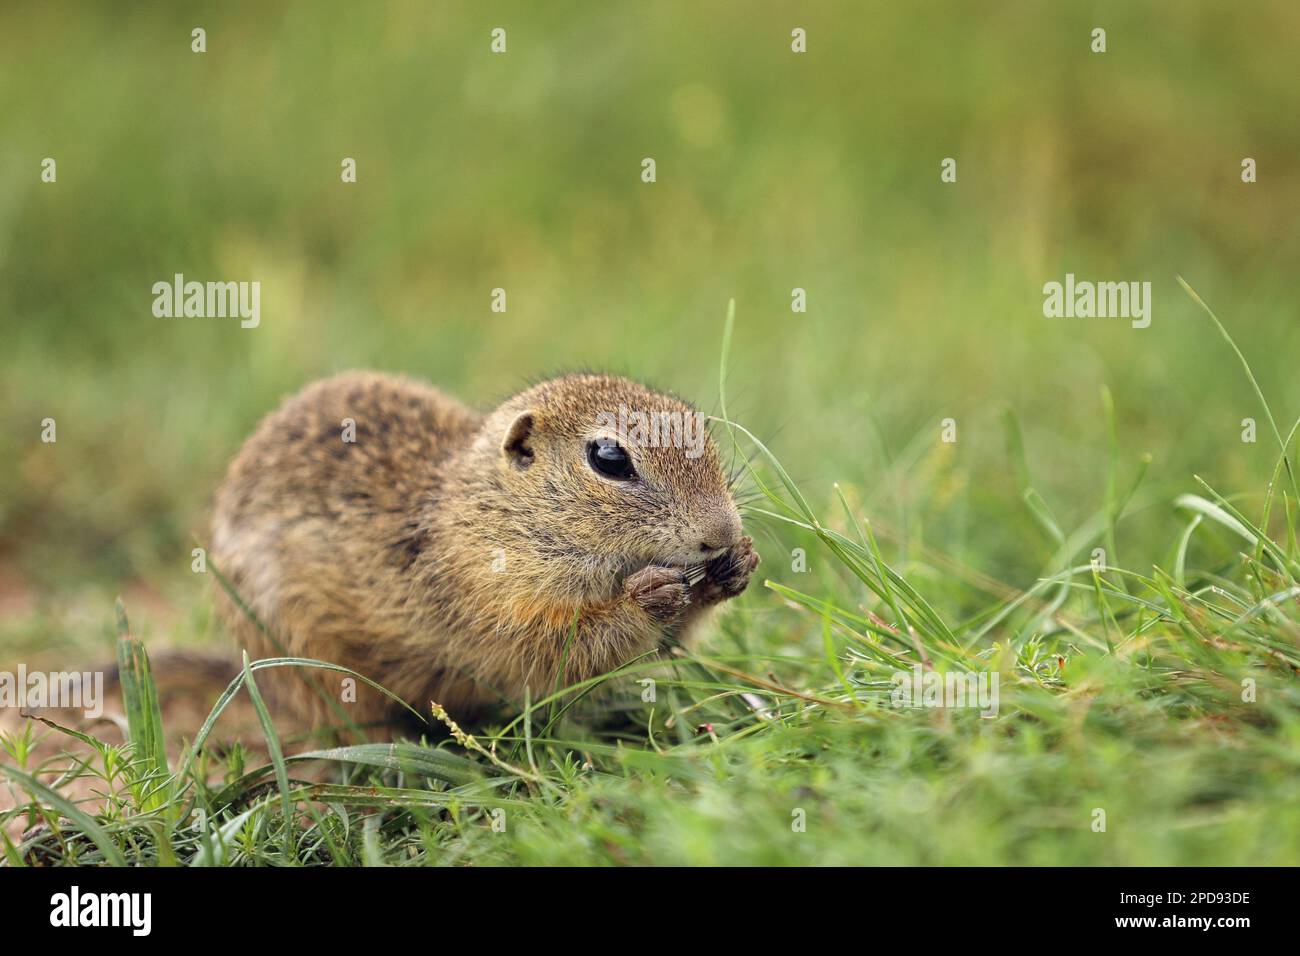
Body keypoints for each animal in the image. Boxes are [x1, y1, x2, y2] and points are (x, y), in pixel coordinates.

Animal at [210, 371, 760, 732]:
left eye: (699, 427)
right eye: (609, 457)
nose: (722, 532)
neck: (496, 515)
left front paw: (734, 568)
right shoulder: (488, 603)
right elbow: (557, 652)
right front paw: (646, 597)